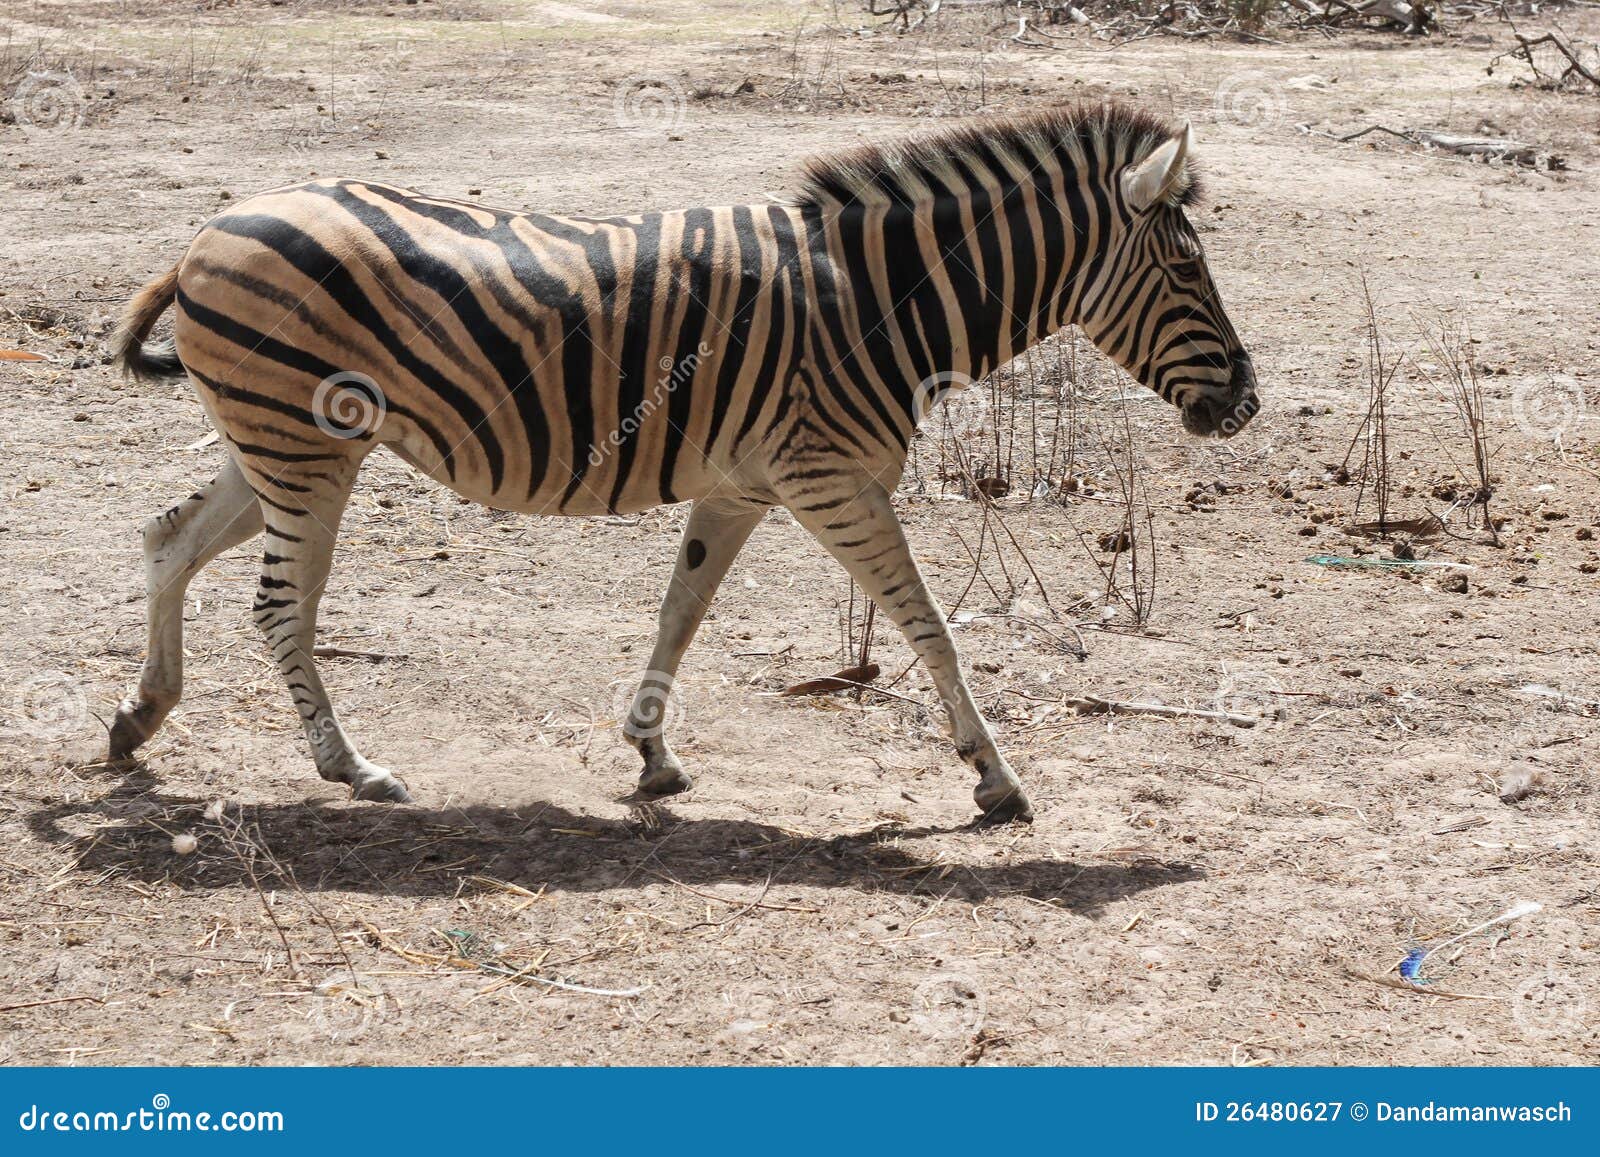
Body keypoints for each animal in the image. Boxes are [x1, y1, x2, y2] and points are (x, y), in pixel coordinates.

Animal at [107, 101, 1259, 824]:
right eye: (1188, 267)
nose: (1246, 403)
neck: (878, 302)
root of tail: (209, 229)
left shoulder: (741, 487)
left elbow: (681, 611)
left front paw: (651, 753)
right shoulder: (831, 479)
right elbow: (927, 622)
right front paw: (994, 775)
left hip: (279, 445)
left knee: (167, 538)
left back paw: (139, 717)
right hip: (305, 448)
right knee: (277, 604)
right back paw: (348, 765)